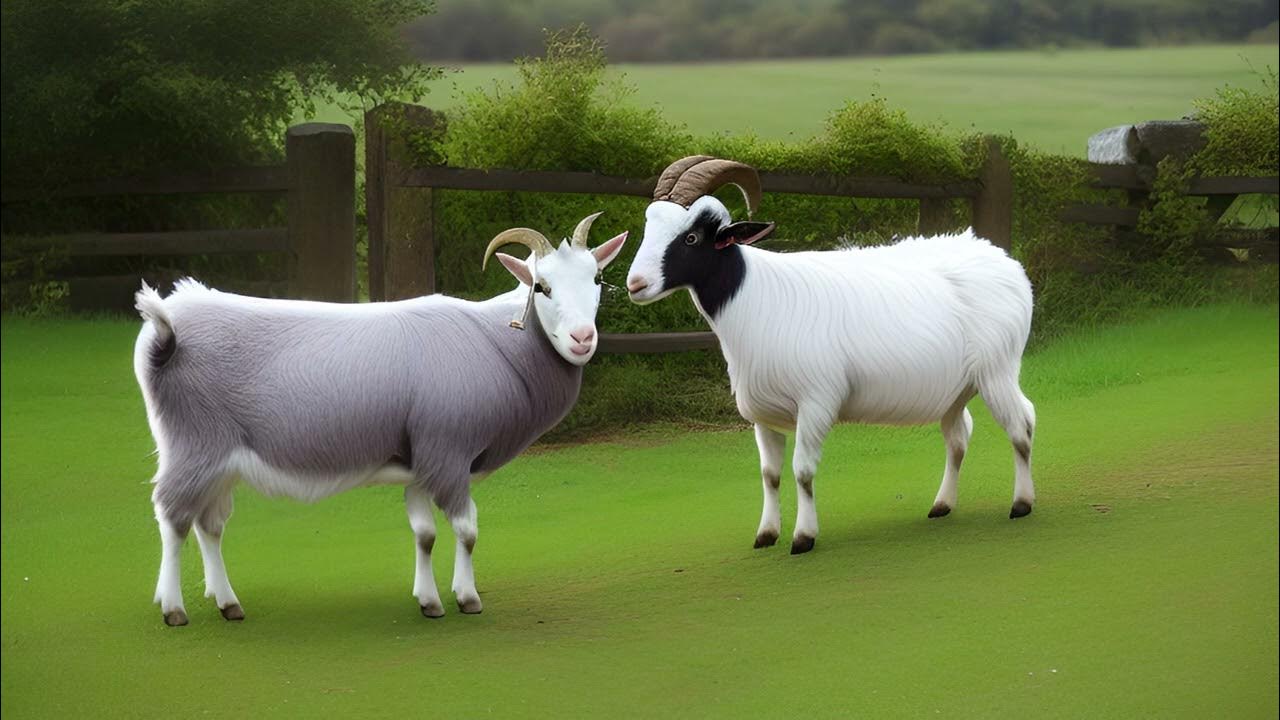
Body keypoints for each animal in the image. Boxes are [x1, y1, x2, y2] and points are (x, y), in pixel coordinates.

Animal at [134, 214, 626, 625]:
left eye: (597, 278)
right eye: (541, 287)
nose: (583, 338)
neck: (496, 340)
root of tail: (167, 328)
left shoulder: (421, 461)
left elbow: (424, 534)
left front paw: (429, 601)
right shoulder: (447, 452)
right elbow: (466, 531)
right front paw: (467, 599)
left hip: (219, 461)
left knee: (208, 525)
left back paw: (227, 603)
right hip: (194, 445)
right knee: (173, 518)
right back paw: (174, 608)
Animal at [625, 156, 1036, 554]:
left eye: (691, 237)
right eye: (649, 226)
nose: (635, 284)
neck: (753, 295)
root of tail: (1003, 259)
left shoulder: (817, 400)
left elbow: (802, 471)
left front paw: (803, 538)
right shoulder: (763, 414)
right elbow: (770, 476)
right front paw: (766, 535)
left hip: (998, 369)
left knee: (1021, 426)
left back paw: (1021, 504)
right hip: (956, 389)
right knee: (959, 437)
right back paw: (942, 505)